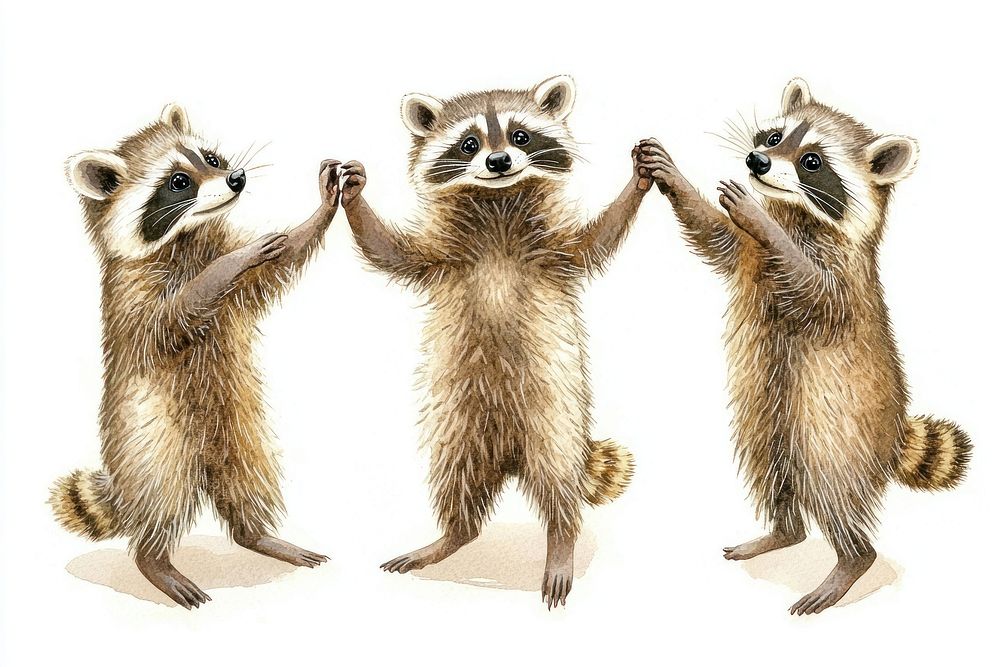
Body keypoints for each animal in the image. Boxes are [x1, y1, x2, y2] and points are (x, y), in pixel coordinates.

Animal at [51, 104, 340, 608]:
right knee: (161, 496)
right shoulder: (132, 298)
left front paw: (320, 208)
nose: (237, 177)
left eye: (211, 157)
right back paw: (154, 560)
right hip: (151, 439)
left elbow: (279, 260)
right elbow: (173, 318)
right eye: (179, 181)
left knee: (248, 481)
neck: (186, 236)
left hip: (242, 429)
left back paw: (256, 535)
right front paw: (230, 265)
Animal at [340, 75, 654, 608]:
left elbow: (596, 239)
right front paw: (354, 200)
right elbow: (389, 250)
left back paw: (561, 541)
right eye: (469, 143)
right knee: (456, 482)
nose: (500, 161)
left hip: (555, 414)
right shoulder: (441, 255)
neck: (497, 204)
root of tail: (507, 455)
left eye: (520, 135)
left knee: (558, 483)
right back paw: (451, 535)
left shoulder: (555, 249)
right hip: (456, 421)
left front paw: (636, 184)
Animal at [640, 79, 972, 614]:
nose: (756, 160)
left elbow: (811, 289)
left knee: (831, 488)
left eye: (812, 161)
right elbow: (715, 235)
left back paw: (851, 560)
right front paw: (674, 176)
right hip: (763, 419)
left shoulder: (843, 281)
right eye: (775, 136)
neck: (797, 211)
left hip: (838, 433)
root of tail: (892, 435)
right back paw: (783, 531)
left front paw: (760, 219)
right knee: (770, 471)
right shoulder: (746, 257)